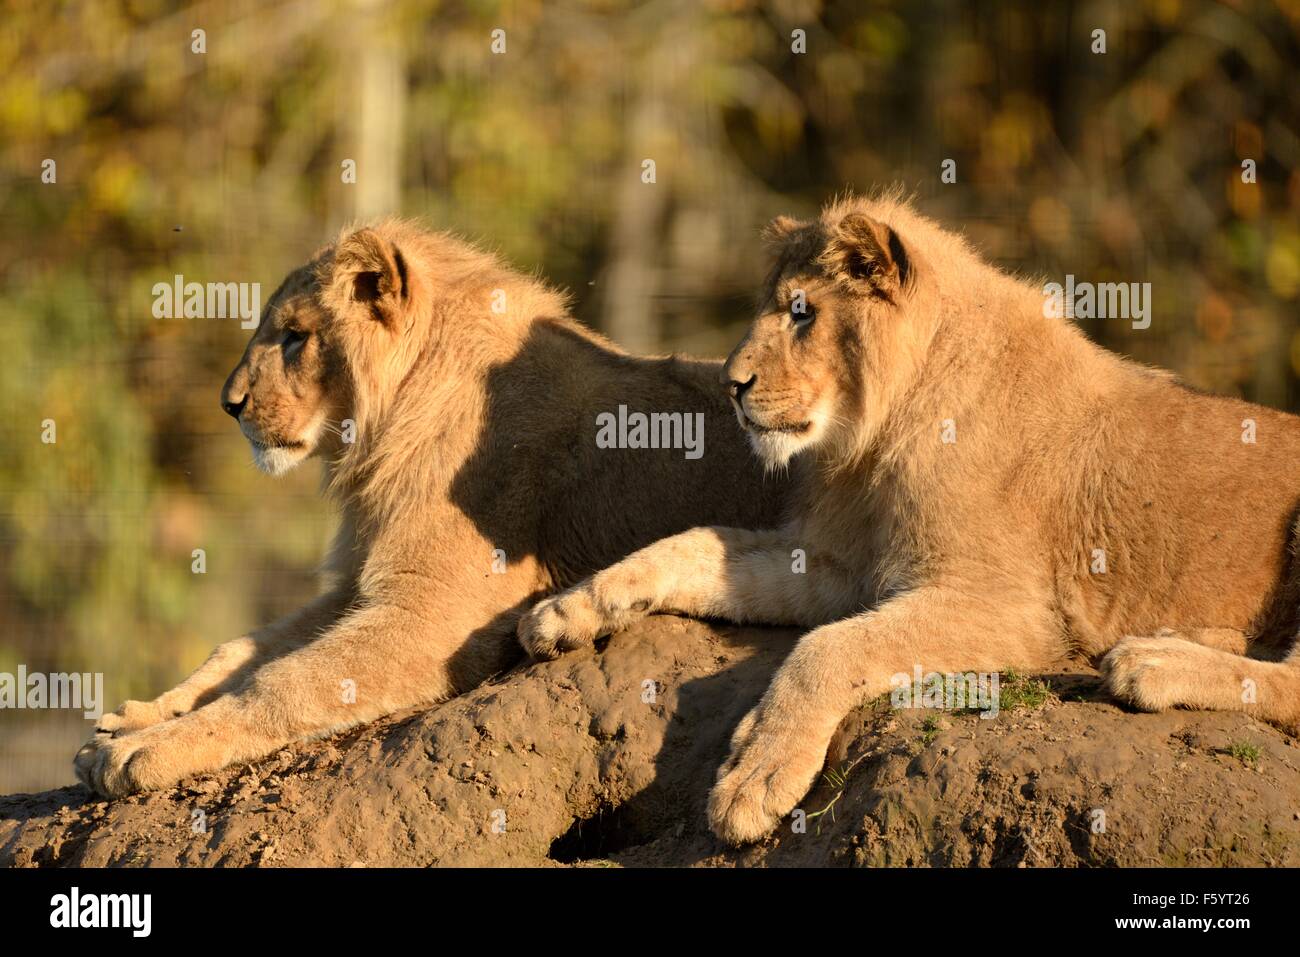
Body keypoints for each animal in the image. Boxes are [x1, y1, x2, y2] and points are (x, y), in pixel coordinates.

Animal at [74, 219, 789, 798]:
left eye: (296, 336)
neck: (386, 421)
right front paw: (139, 717)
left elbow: (281, 678)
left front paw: (143, 749)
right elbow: (240, 651)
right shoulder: (361, 582)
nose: (229, 404)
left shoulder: (435, 614)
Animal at [517, 192, 1300, 845]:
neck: (873, 433)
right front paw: (565, 610)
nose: (731, 384)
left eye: (802, 312)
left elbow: (826, 650)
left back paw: (1153, 662)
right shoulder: (844, 566)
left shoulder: (1012, 609)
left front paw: (756, 776)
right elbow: (688, 545)